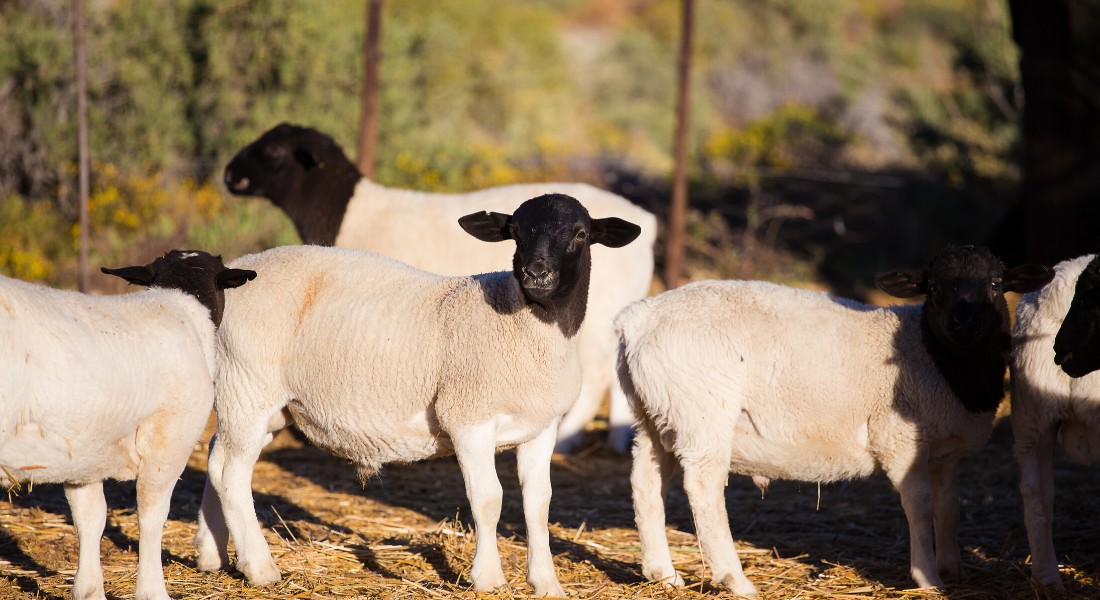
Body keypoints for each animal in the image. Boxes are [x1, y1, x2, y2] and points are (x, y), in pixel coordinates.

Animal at [0, 250, 256, 600]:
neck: (180, 305)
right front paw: (152, 590)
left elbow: (90, 518)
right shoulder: (169, 442)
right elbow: (151, 517)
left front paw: (89, 589)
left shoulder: (86, 451)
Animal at [191, 193, 642, 595]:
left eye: (580, 234)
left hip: (258, 400)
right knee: (231, 473)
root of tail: (238, 271)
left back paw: (211, 555)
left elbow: (539, 502)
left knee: (216, 460)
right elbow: (488, 499)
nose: (537, 274)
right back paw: (260, 568)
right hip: (249, 383)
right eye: (515, 232)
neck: (527, 326)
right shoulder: (468, 417)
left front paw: (546, 583)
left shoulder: (541, 426)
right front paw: (488, 578)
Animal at [222, 122, 658, 454]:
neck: (350, 211)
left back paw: (569, 439)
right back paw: (619, 439)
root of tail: (648, 223)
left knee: (599, 375)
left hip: (600, 312)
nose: (227, 175)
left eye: (273, 151)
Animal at [616, 245, 1052, 595]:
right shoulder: (899, 439)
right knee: (704, 488)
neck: (938, 357)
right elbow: (920, 504)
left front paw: (953, 569)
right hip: (702, 415)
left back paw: (663, 574)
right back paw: (735, 580)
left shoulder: (943, 452)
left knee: (645, 482)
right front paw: (928, 578)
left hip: (654, 415)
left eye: (995, 284)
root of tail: (637, 318)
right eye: (935, 289)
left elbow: (949, 507)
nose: (964, 325)